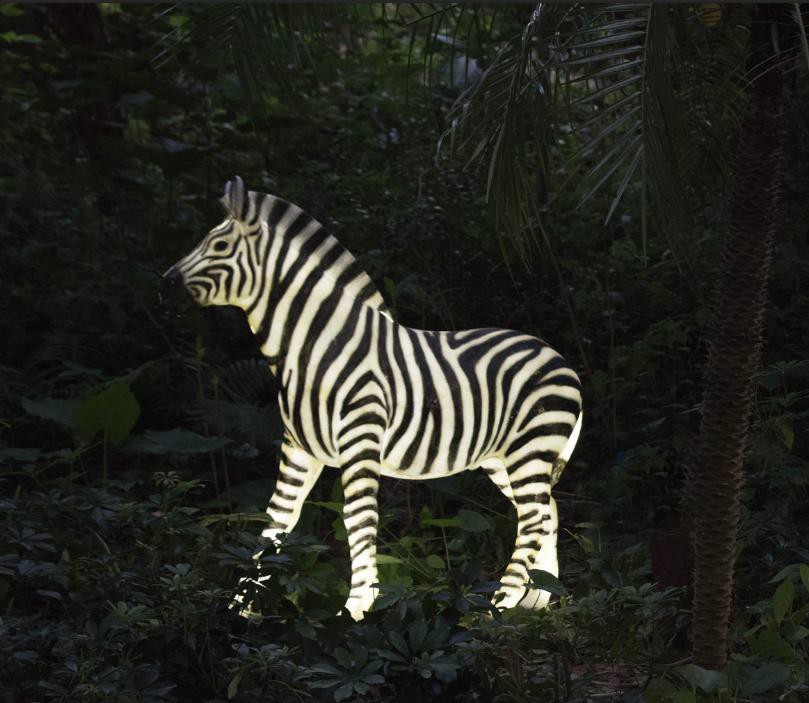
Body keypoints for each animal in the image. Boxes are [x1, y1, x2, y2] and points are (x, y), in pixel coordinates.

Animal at [161, 177, 583, 620]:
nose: (164, 284)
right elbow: (277, 520)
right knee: (545, 512)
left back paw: (496, 607)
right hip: (504, 458)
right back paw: (535, 600)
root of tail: (560, 359)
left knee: (534, 518)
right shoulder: (298, 449)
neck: (317, 348)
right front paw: (241, 607)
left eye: (220, 246)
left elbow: (357, 520)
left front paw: (356, 609)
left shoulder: (360, 440)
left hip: (529, 449)